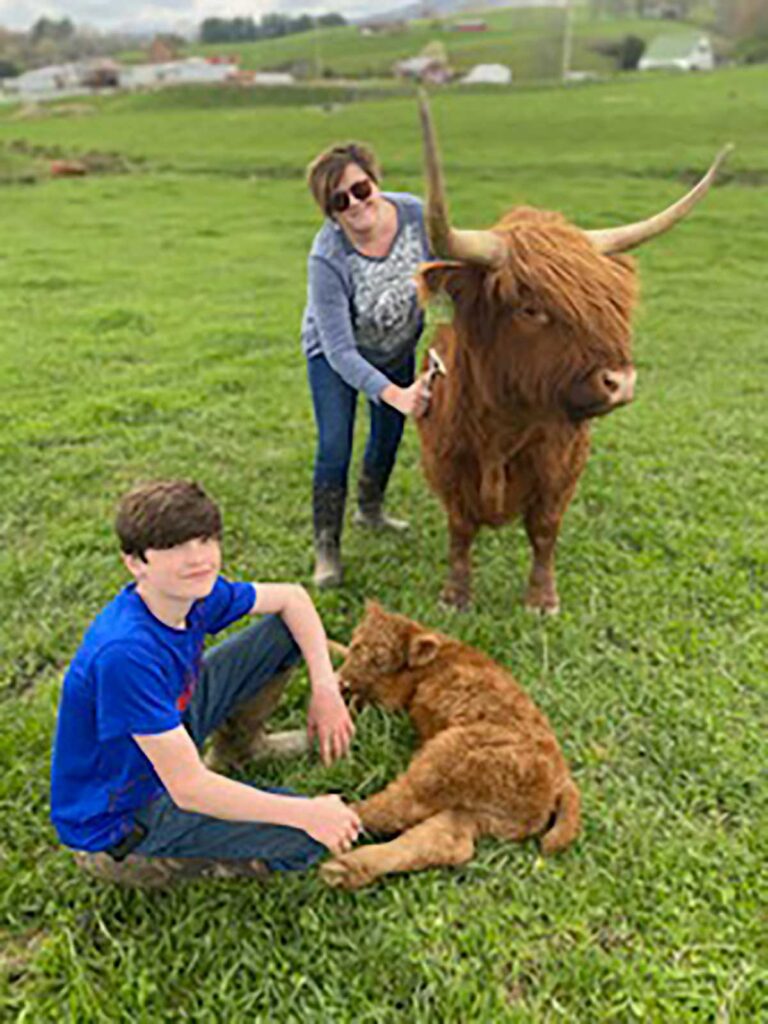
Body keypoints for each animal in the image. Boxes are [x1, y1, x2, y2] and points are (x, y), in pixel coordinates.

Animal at [414, 94, 731, 612]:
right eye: (530, 308)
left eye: (609, 301)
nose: (620, 382)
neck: (504, 429)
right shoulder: (445, 460)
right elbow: (459, 530)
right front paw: (455, 596)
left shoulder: (561, 466)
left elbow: (544, 530)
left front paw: (542, 599)